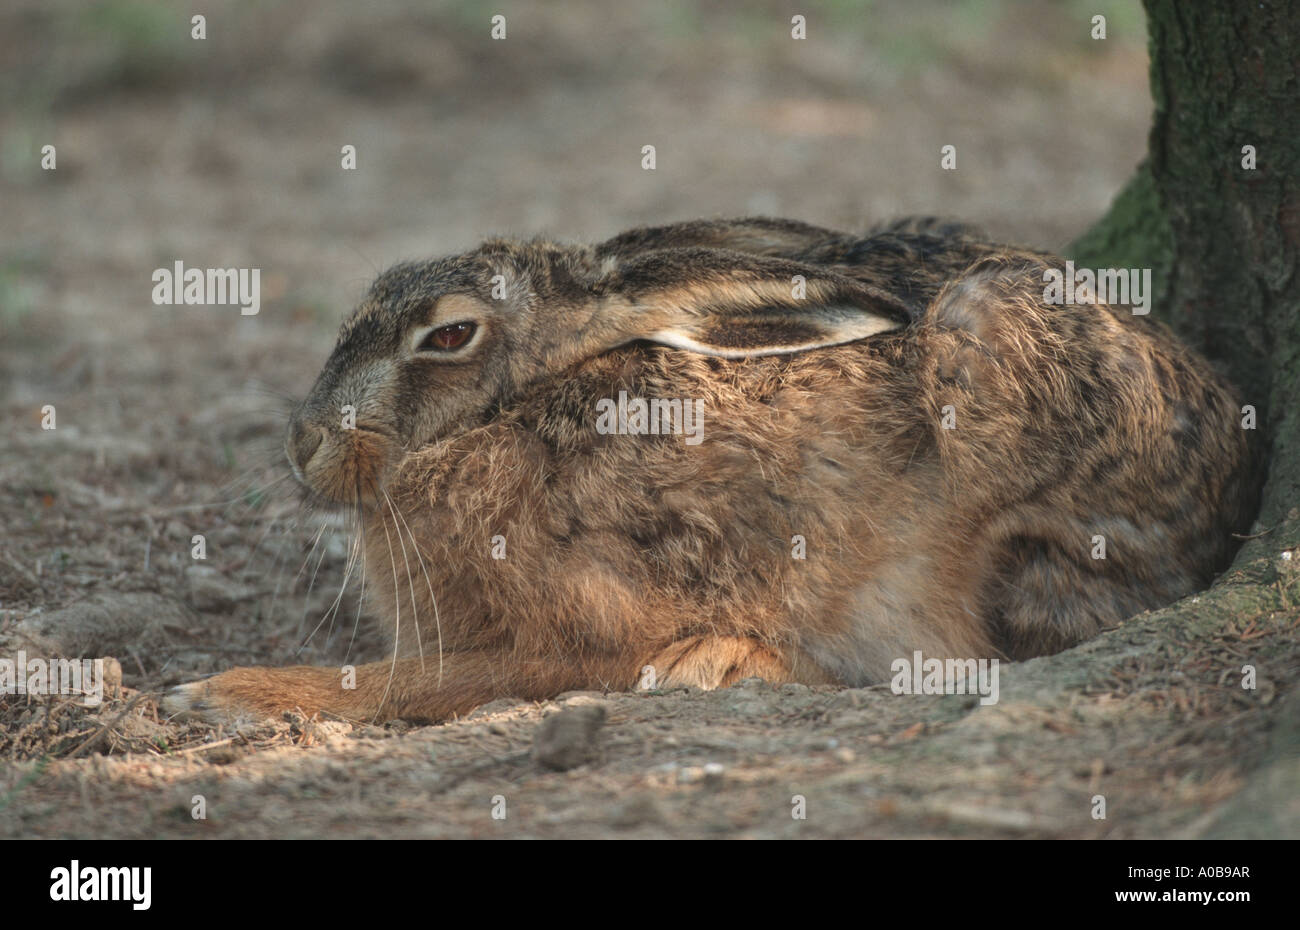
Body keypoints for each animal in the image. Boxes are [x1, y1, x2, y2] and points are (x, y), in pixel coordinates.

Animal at [164, 216, 1259, 724]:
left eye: (450, 336)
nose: (303, 443)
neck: (504, 415)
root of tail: (1237, 471)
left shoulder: (579, 631)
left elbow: (420, 679)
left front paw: (217, 694)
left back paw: (720, 660)